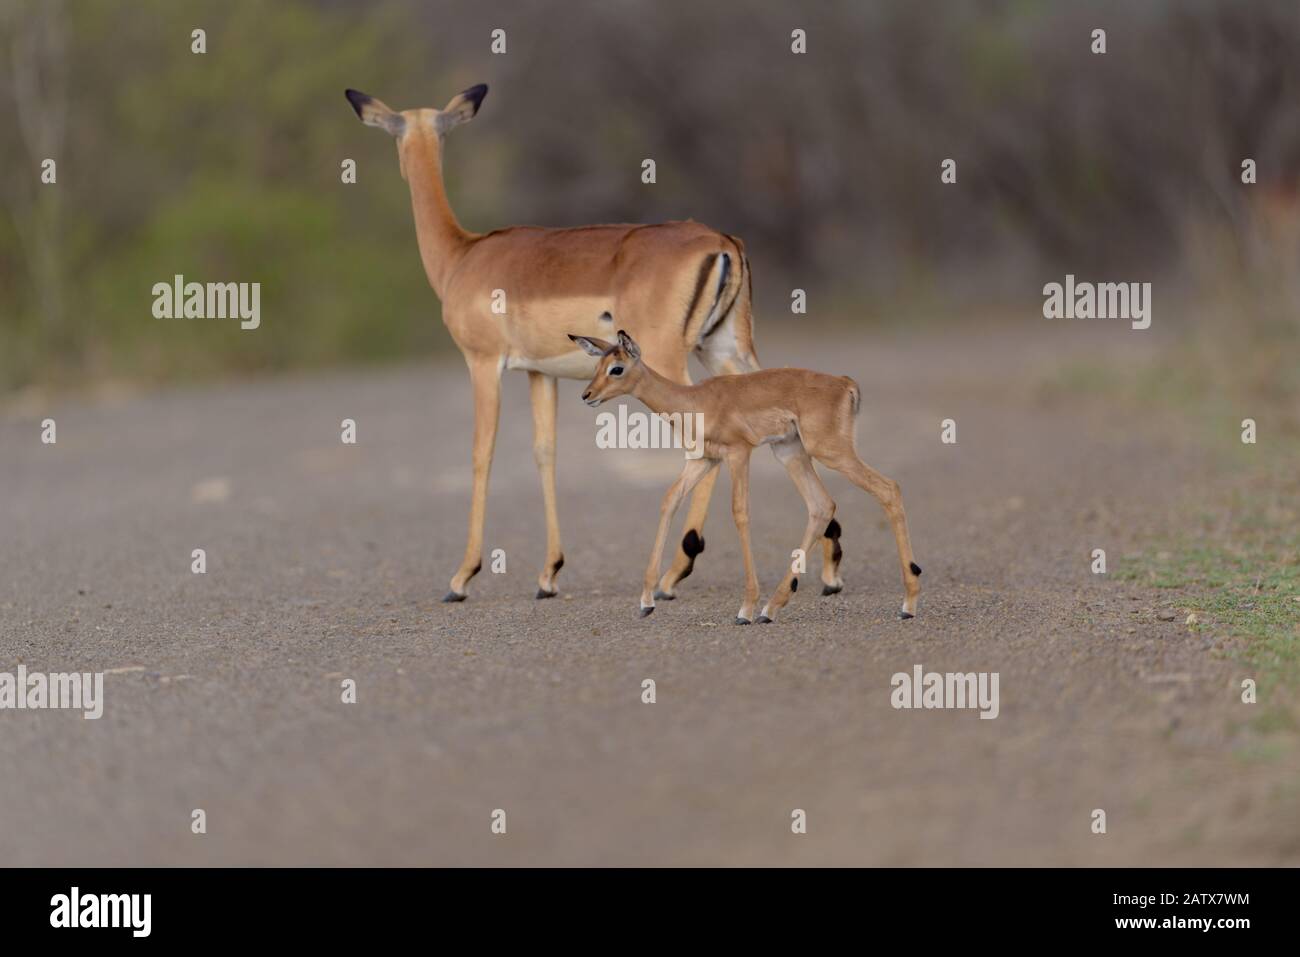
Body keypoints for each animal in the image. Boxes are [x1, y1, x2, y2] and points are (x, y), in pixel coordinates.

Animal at [346, 84, 764, 602]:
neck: (464, 255)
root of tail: (722, 242)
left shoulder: (483, 363)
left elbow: (482, 452)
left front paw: (461, 577)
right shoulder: (539, 372)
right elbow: (545, 453)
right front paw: (548, 574)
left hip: (671, 358)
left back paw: (672, 575)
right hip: (726, 350)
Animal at [571, 331, 923, 624]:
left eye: (617, 368)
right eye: (598, 363)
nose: (587, 395)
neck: (695, 402)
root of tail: (844, 383)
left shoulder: (738, 453)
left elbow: (739, 513)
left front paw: (745, 608)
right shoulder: (704, 460)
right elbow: (669, 500)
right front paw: (646, 601)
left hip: (830, 452)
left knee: (888, 489)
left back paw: (908, 604)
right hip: (791, 453)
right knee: (822, 505)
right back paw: (772, 608)